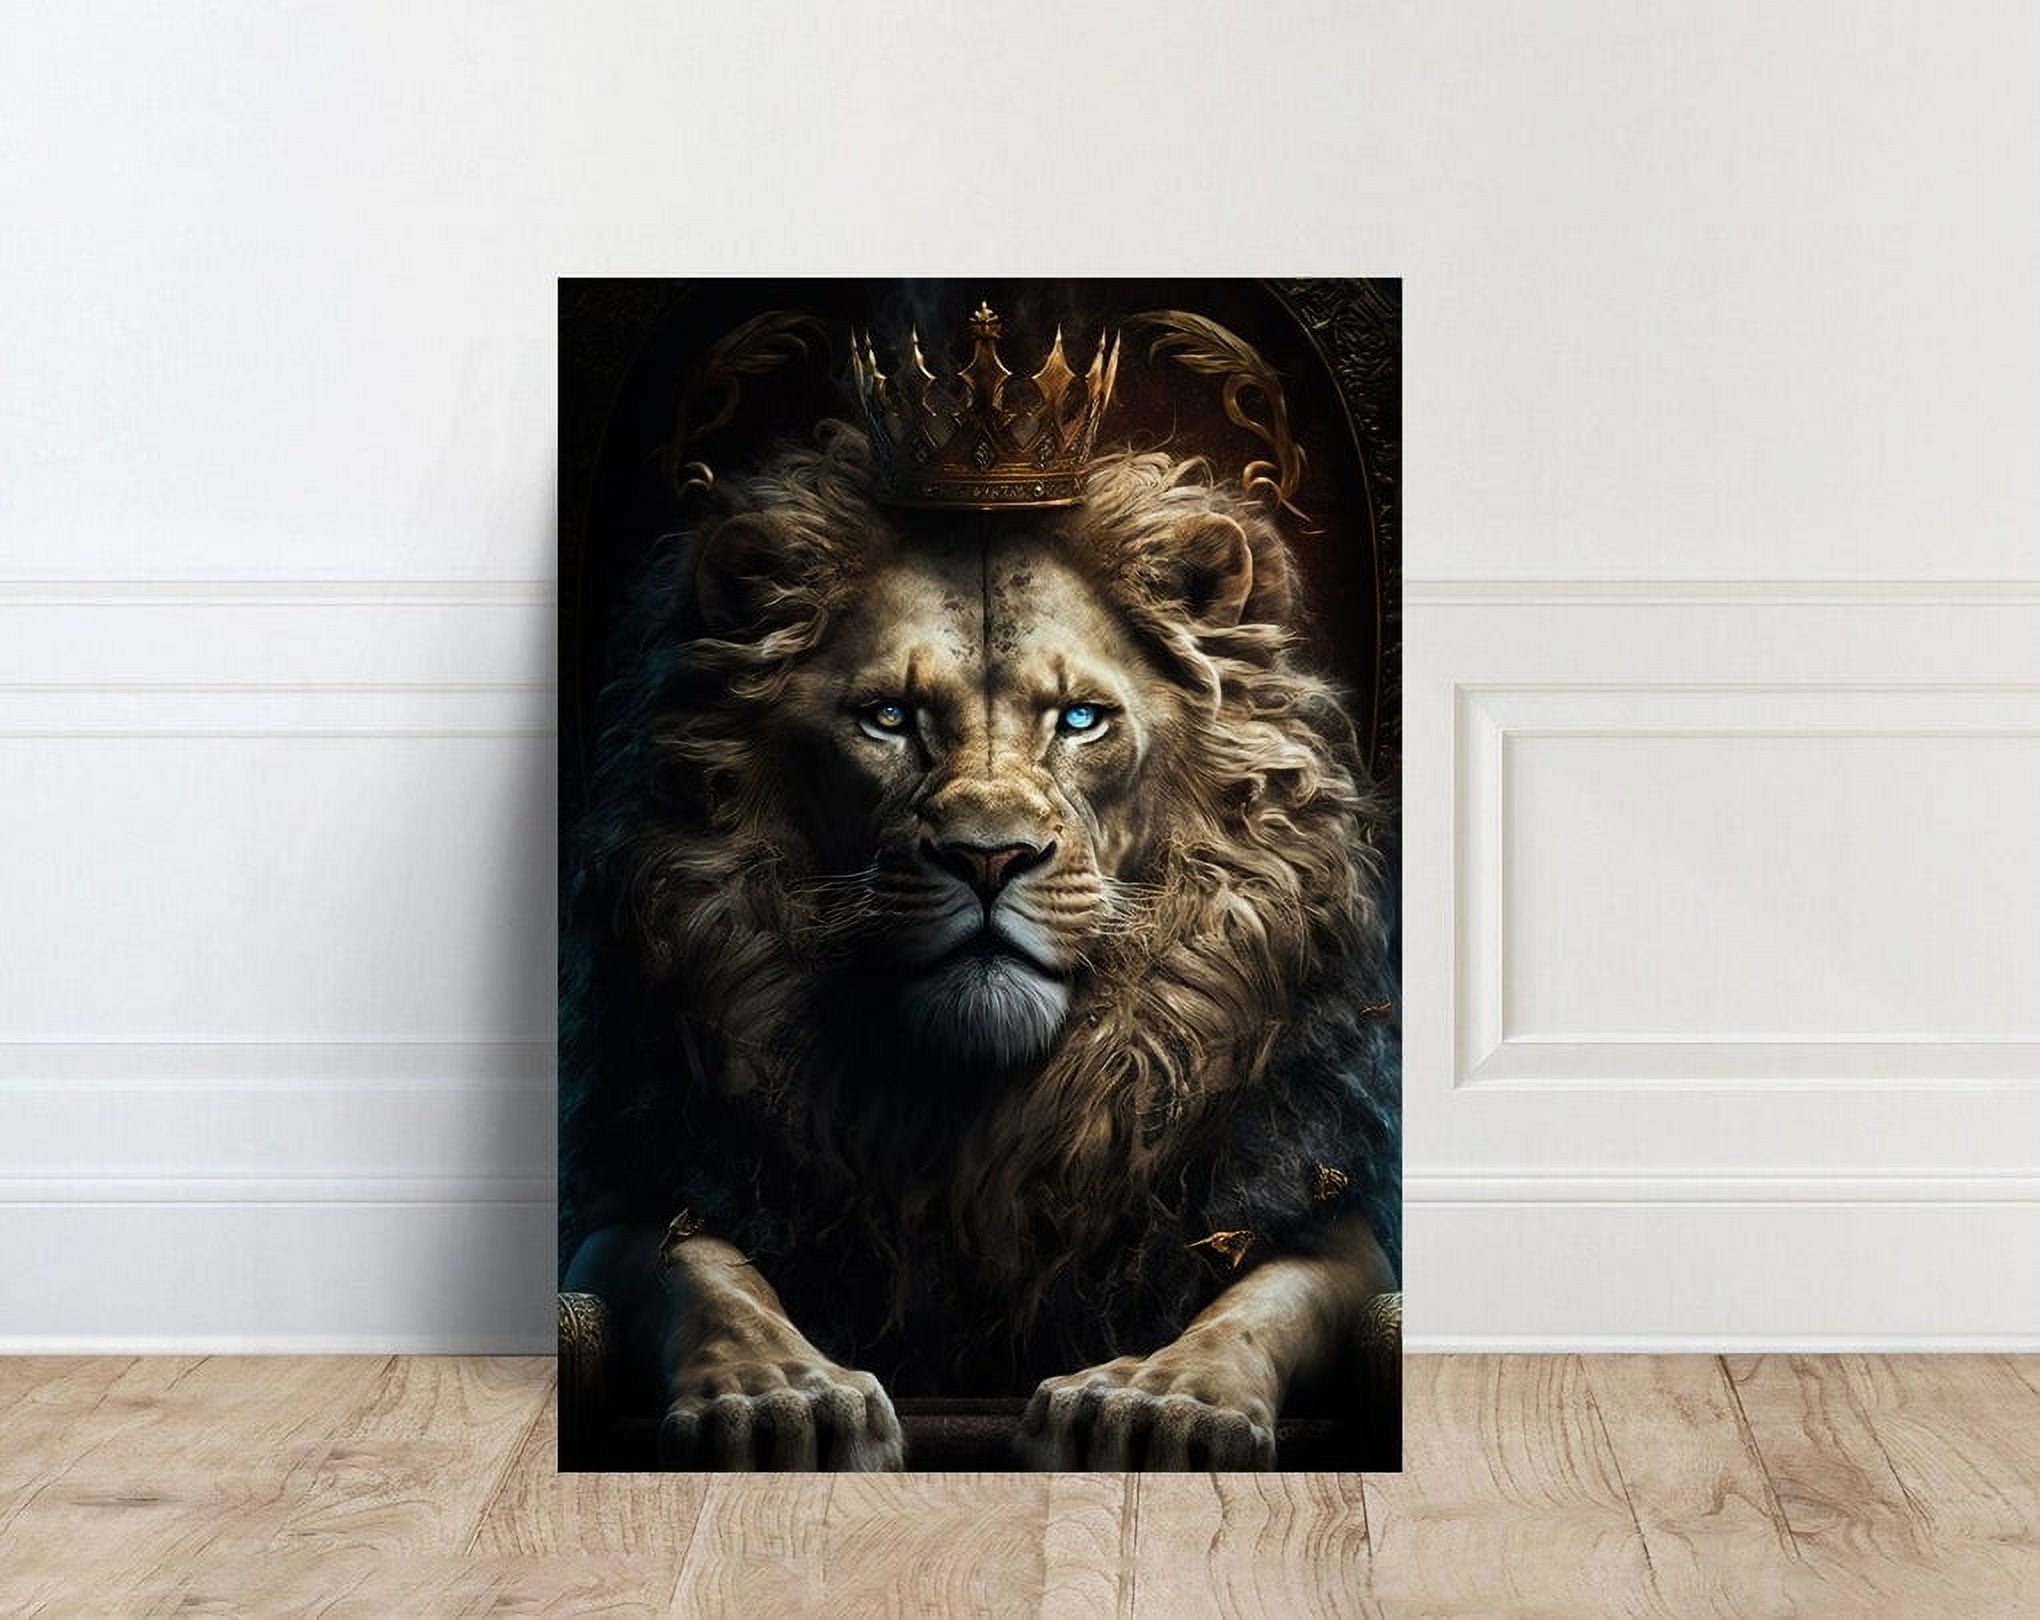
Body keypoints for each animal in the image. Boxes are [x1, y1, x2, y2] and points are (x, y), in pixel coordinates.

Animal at [561, 419, 1399, 1470]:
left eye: (1079, 719)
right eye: (890, 718)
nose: (989, 857)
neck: (982, 1131)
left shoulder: (1332, 1215)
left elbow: (1261, 1298)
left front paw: (1160, 1405)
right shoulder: (624, 1202)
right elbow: (706, 1270)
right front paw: (780, 1397)